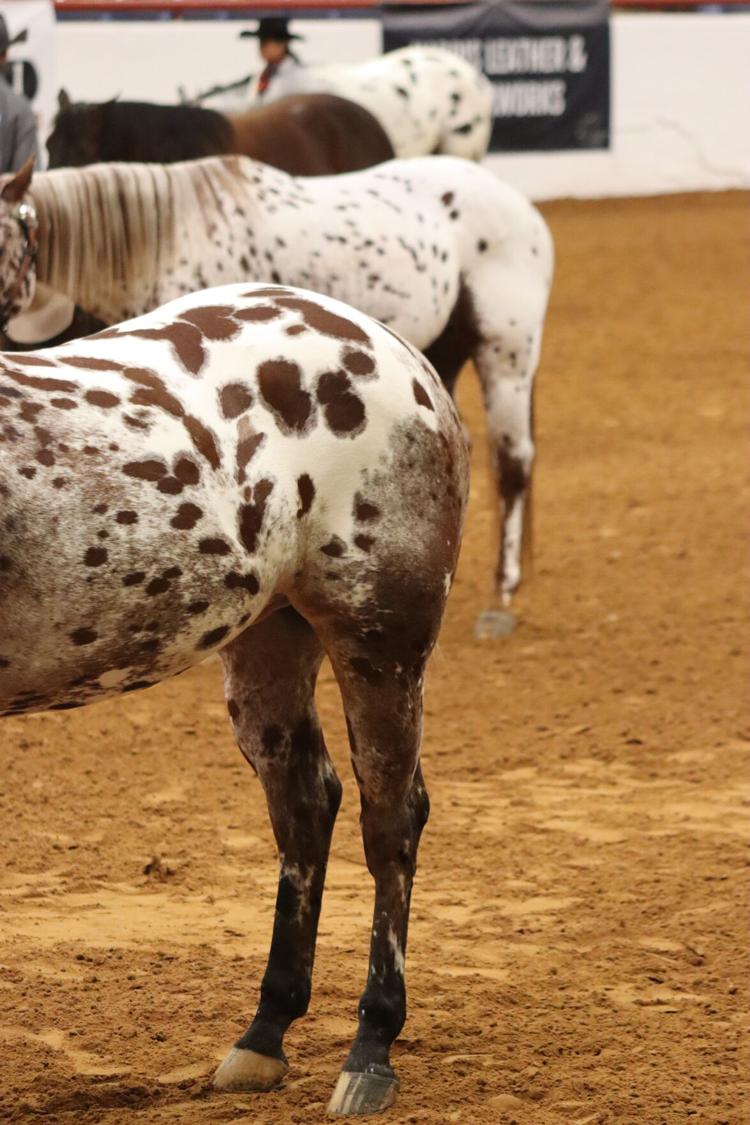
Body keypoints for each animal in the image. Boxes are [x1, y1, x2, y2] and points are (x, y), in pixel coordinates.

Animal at [0, 280, 469, 1115]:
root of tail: (392, 348)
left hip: (382, 643)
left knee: (391, 822)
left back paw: (370, 1050)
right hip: (270, 640)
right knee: (307, 804)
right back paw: (264, 1034)